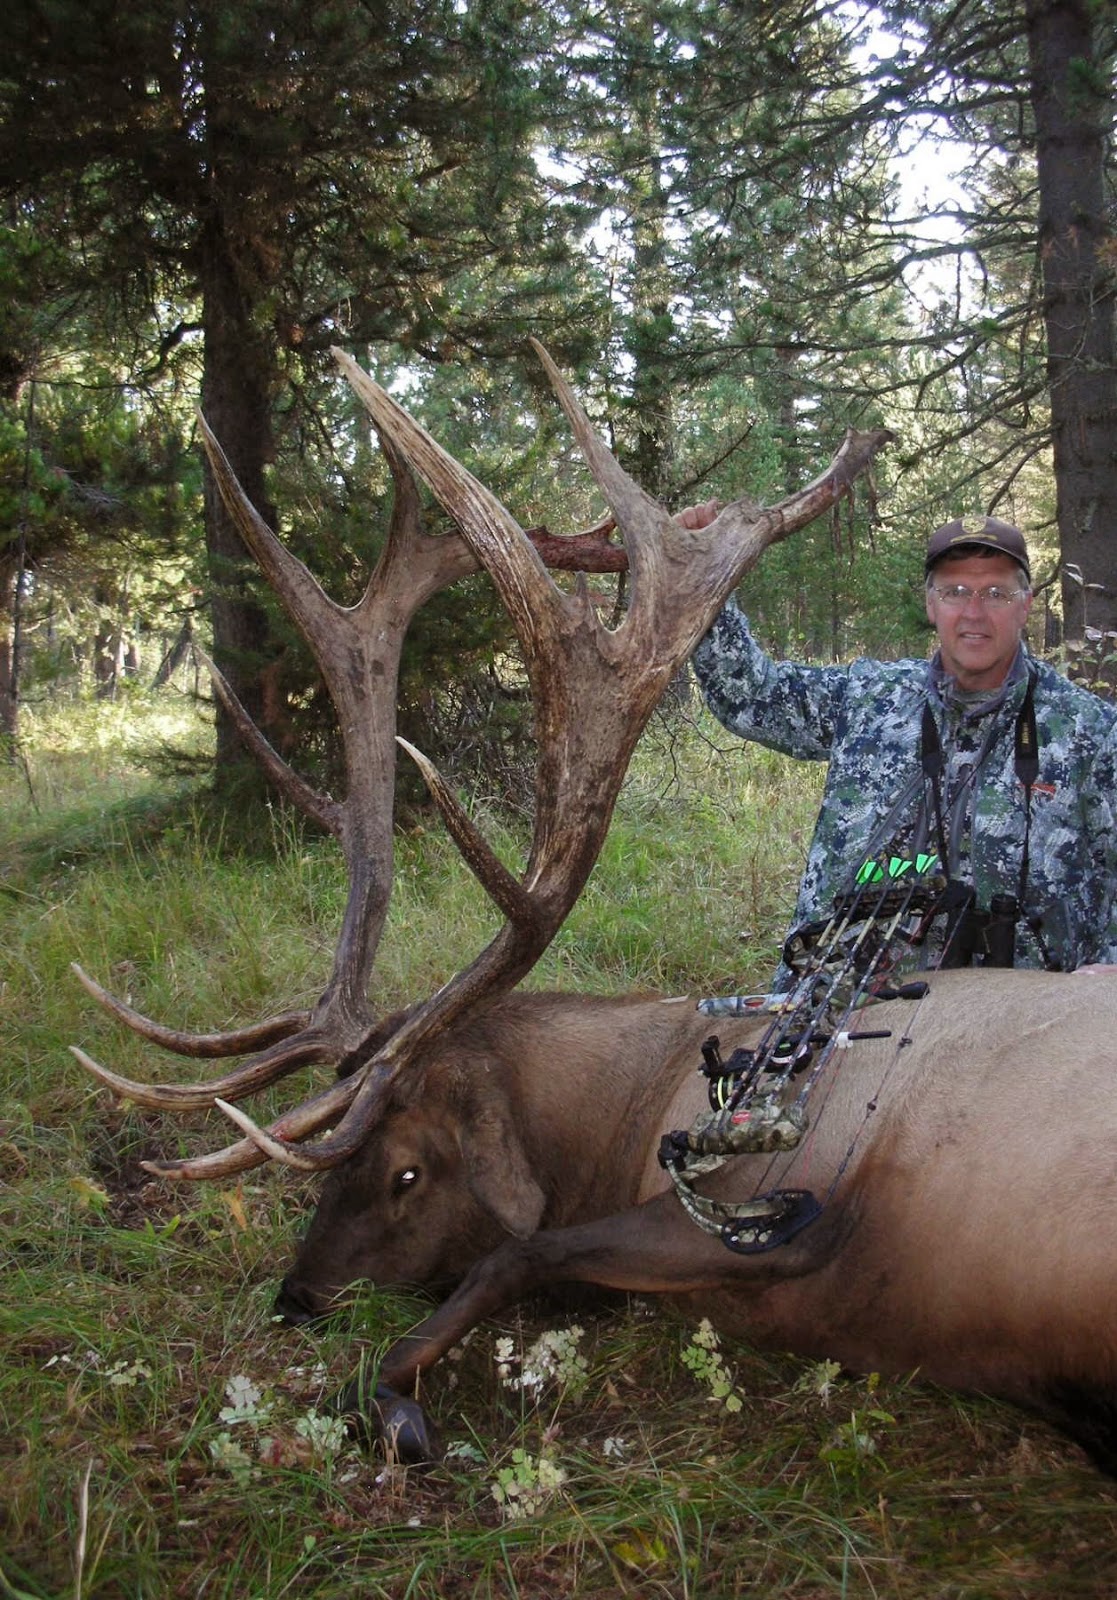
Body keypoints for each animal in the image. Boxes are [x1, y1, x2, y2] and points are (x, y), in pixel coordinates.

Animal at [72, 346, 1117, 1479]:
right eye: (334, 1171)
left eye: (406, 1170)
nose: (297, 1297)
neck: (638, 1102)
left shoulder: (776, 1212)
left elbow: (519, 1252)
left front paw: (395, 1401)